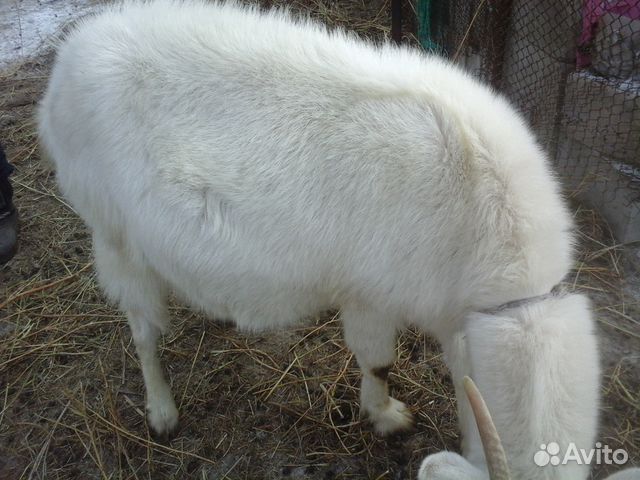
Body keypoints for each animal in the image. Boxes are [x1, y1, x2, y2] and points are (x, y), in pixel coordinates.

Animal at [38, 1, 617, 478]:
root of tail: (67, 59)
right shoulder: (371, 296)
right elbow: (379, 361)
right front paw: (387, 416)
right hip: (111, 231)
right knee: (141, 328)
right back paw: (161, 411)